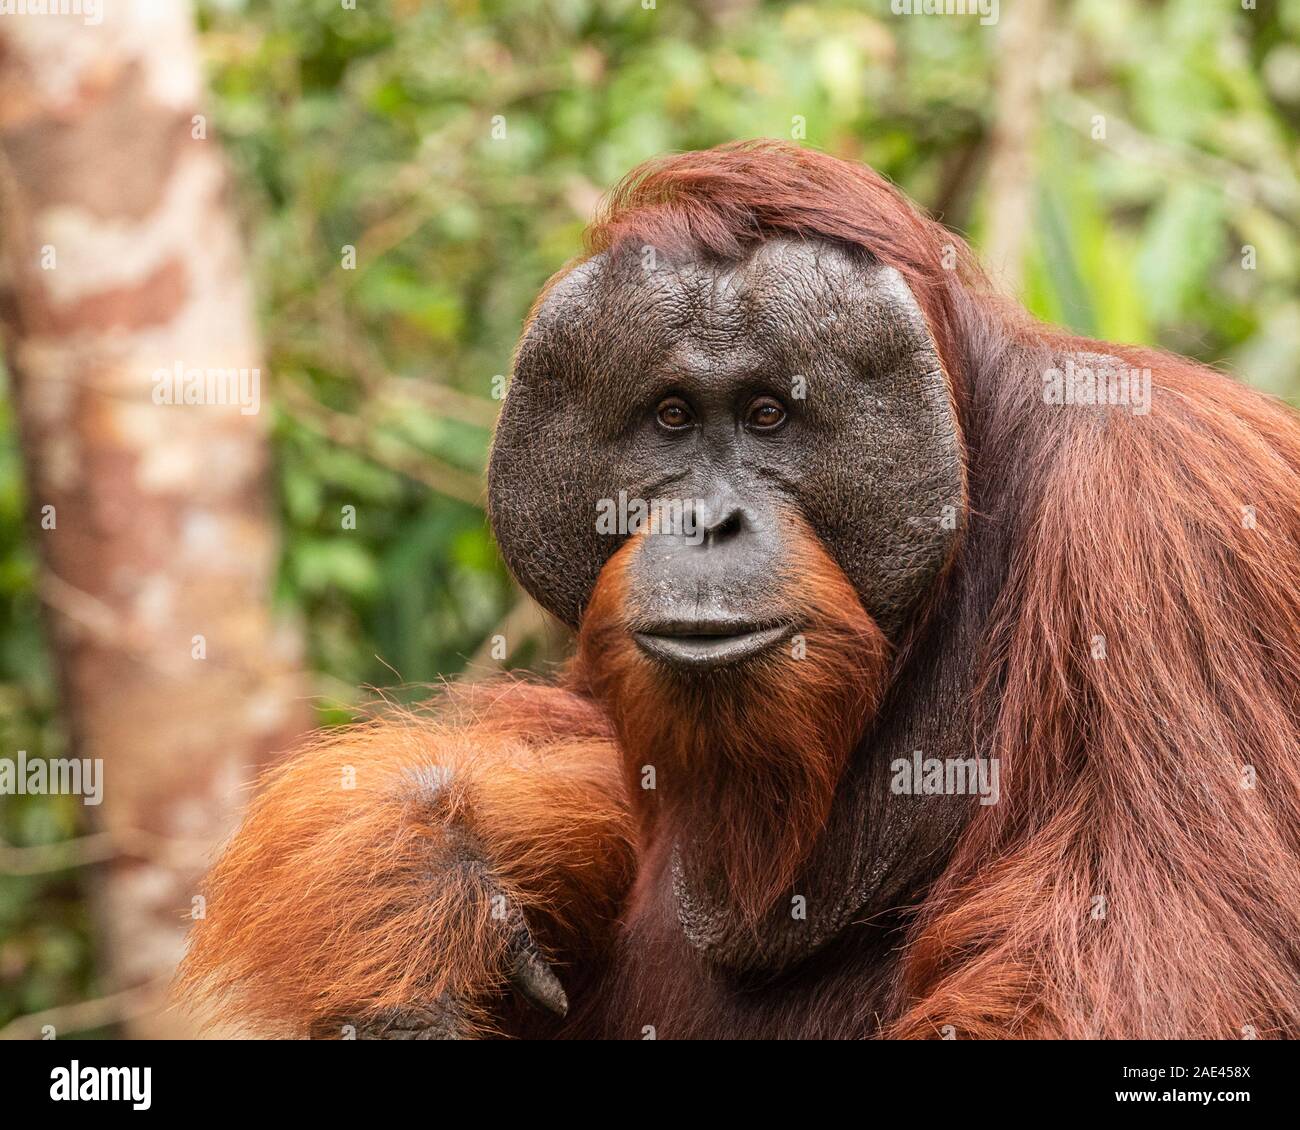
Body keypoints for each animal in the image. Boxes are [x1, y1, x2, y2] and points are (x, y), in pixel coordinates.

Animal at [177, 141, 1300, 1039]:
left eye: (769, 415)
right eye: (672, 417)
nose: (709, 522)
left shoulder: (1173, 538)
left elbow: (1134, 978)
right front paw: (419, 877)